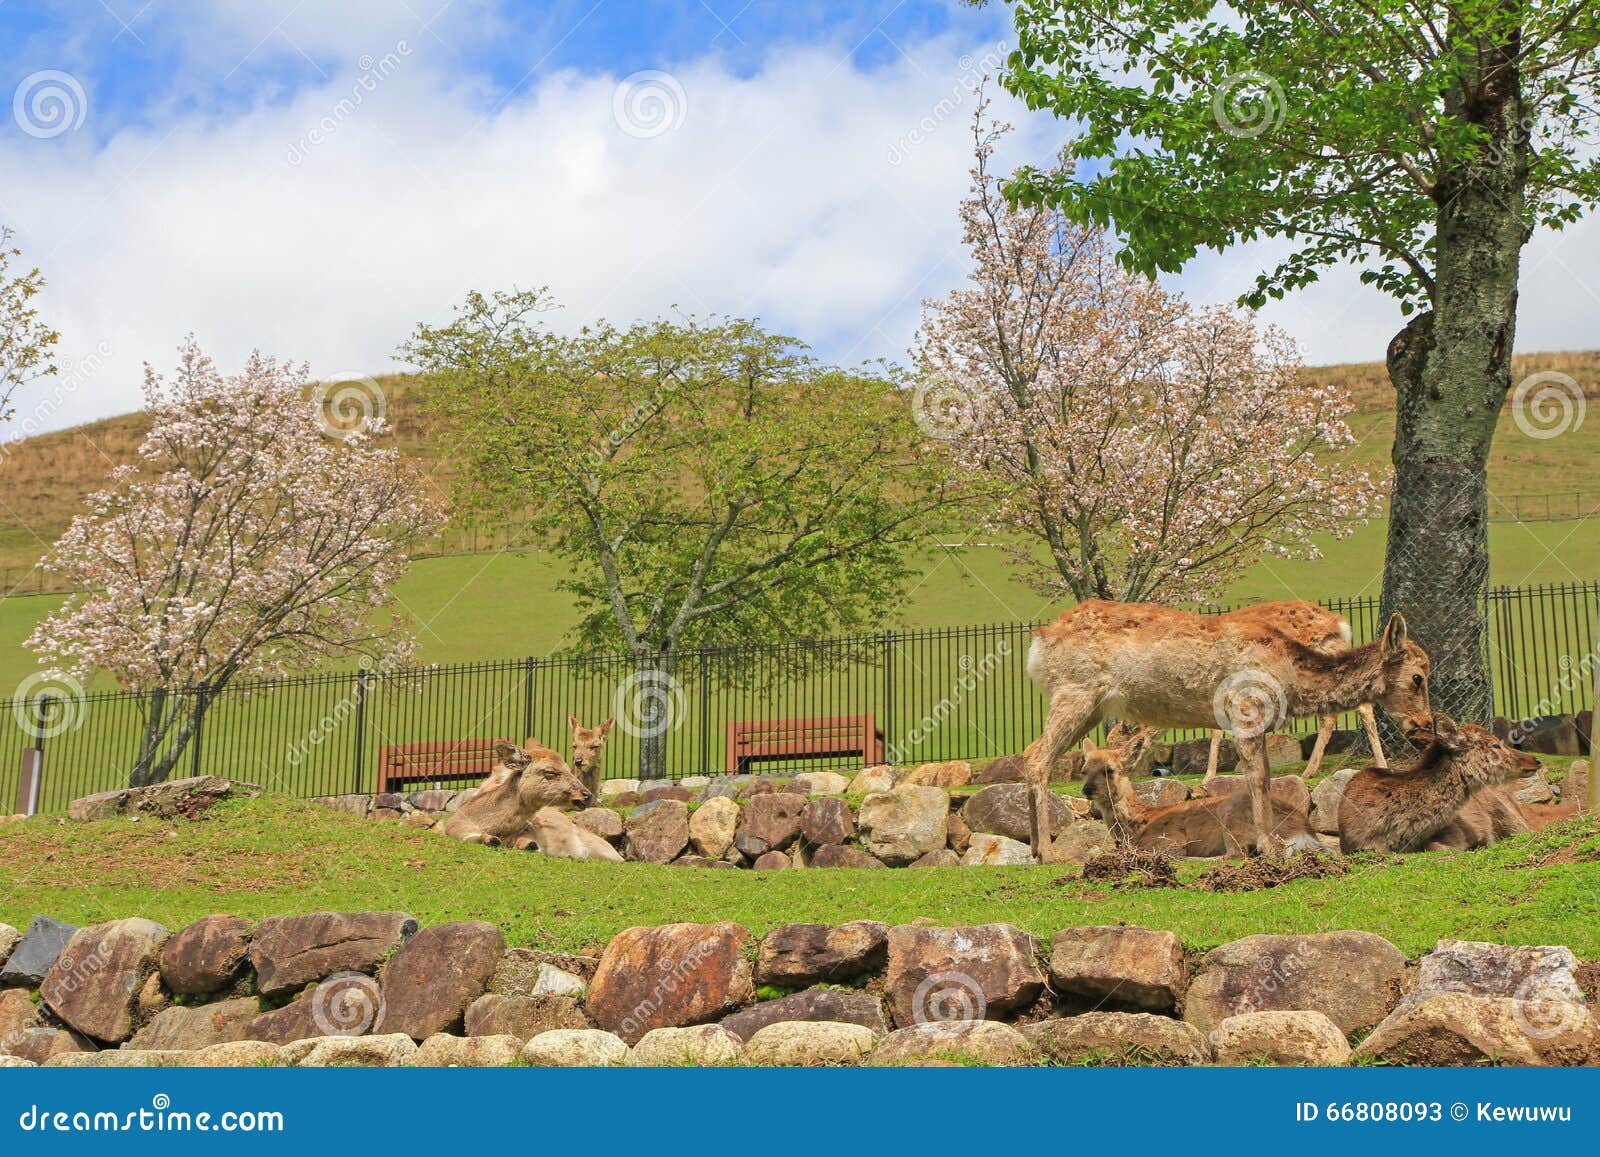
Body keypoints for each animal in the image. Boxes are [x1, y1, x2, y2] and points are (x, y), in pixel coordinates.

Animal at [1082, 724, 1322, 857]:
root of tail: (1303, 830)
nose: (1087, 789)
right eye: (1084, 770)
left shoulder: (1168, 839)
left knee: (1236, 854)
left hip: (1232, 814)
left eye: (1109, 770)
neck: (1139, 821)